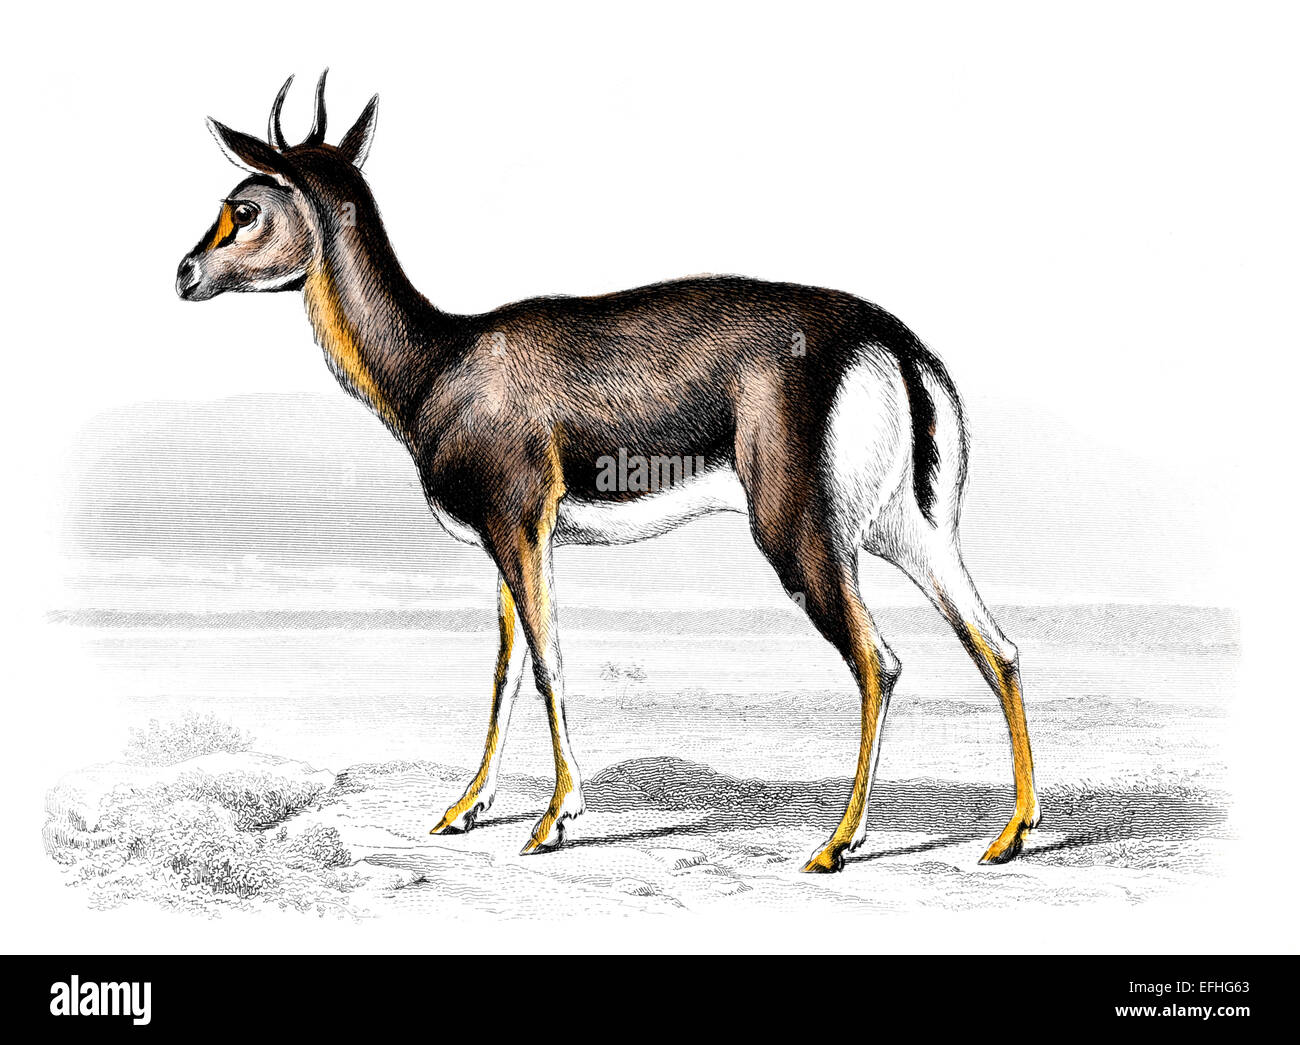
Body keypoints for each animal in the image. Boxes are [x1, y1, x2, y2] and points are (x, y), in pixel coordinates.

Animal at [176, 73, 1040, 872]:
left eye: (243, 206)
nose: (184, 272)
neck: (438, 362)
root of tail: (892, 342)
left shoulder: (518, 524)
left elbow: (548, 661)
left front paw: (554, 819)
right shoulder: (512, 541)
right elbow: (505, 670)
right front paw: (463, 808)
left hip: (803, 535)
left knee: (879, 659)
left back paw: (837, 842)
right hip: (908, 531)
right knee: (997, 644)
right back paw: (1011, 834)